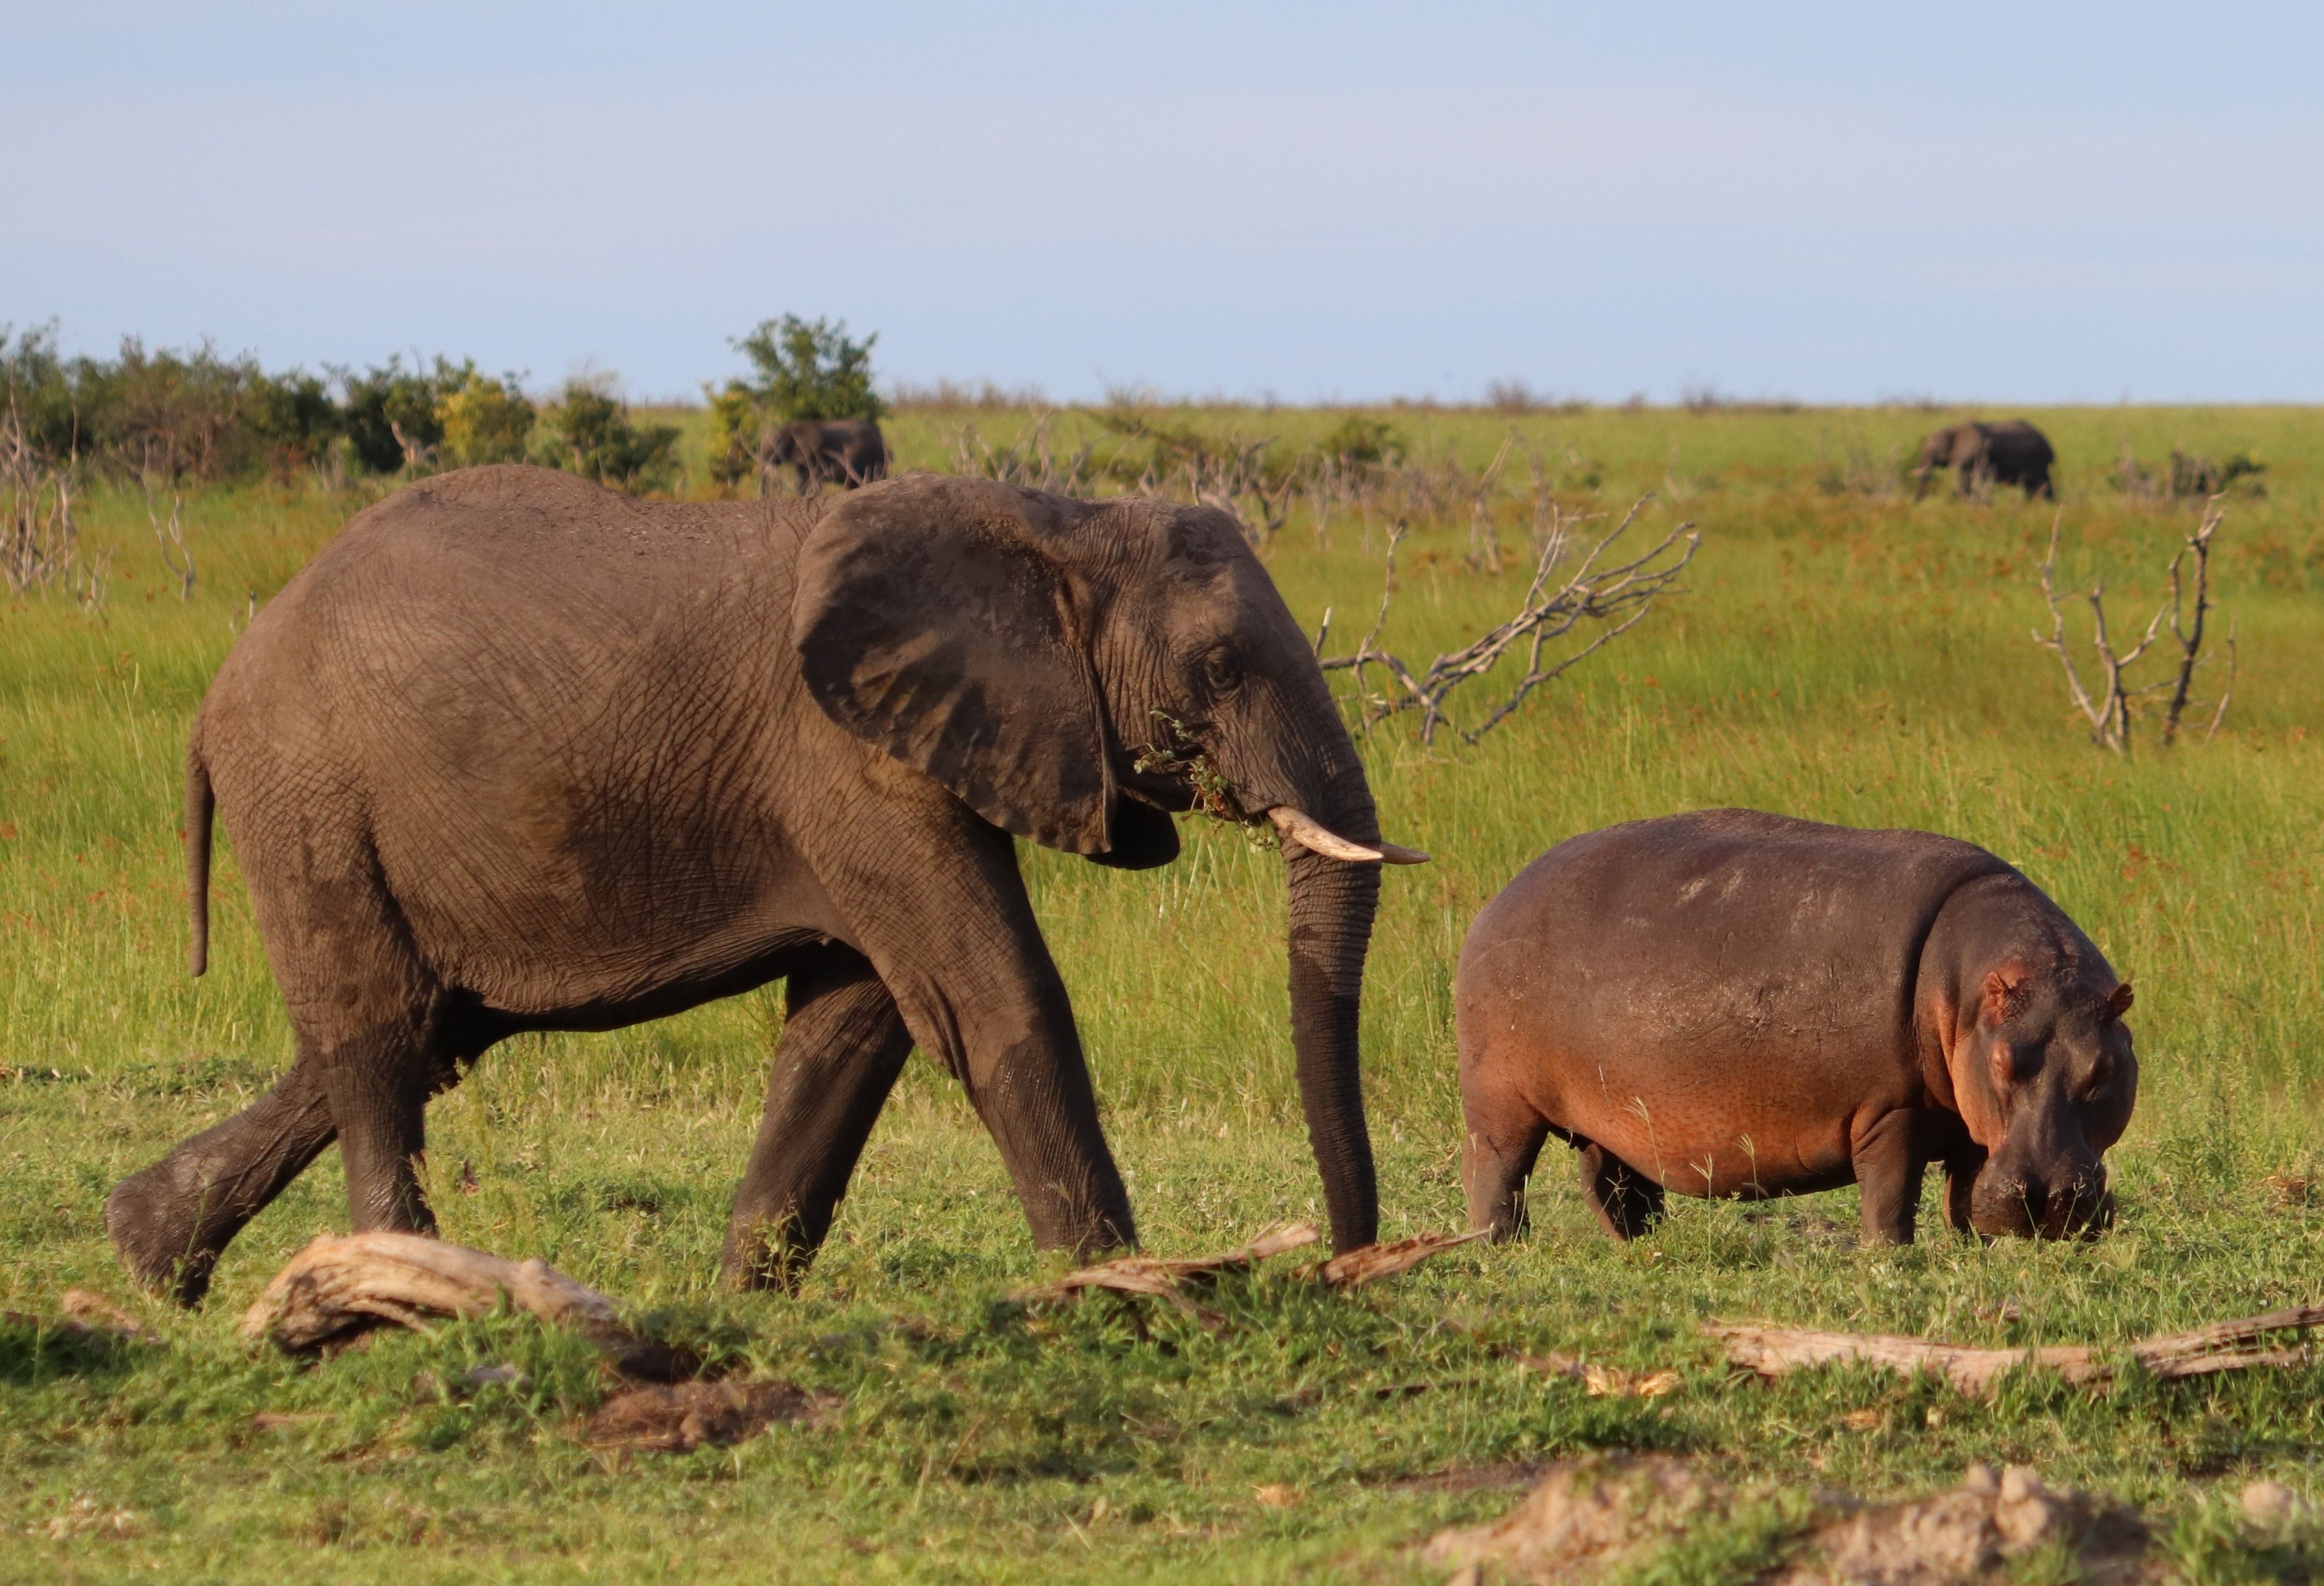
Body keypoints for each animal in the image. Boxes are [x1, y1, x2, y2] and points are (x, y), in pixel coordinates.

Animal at [105, 466, 1427, 1306]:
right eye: (1220, 667)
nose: (1338, 1265)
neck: (1050, 517)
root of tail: (219, 692)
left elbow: (854, 1025)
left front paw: (746, 1306)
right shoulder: (850, 760)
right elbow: (992, 999)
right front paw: (1116, 1285)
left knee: (419, 1030)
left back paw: (150, 1257)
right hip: (312, 794)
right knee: (379, 1040)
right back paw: (395, 1291)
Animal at [1912, 420, 2056, 500]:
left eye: (1935, 450)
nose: (1914, 503)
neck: (1954, 430)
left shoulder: (1973, 456)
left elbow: (1965, 480)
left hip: (2038, 463)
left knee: (2042, 485)